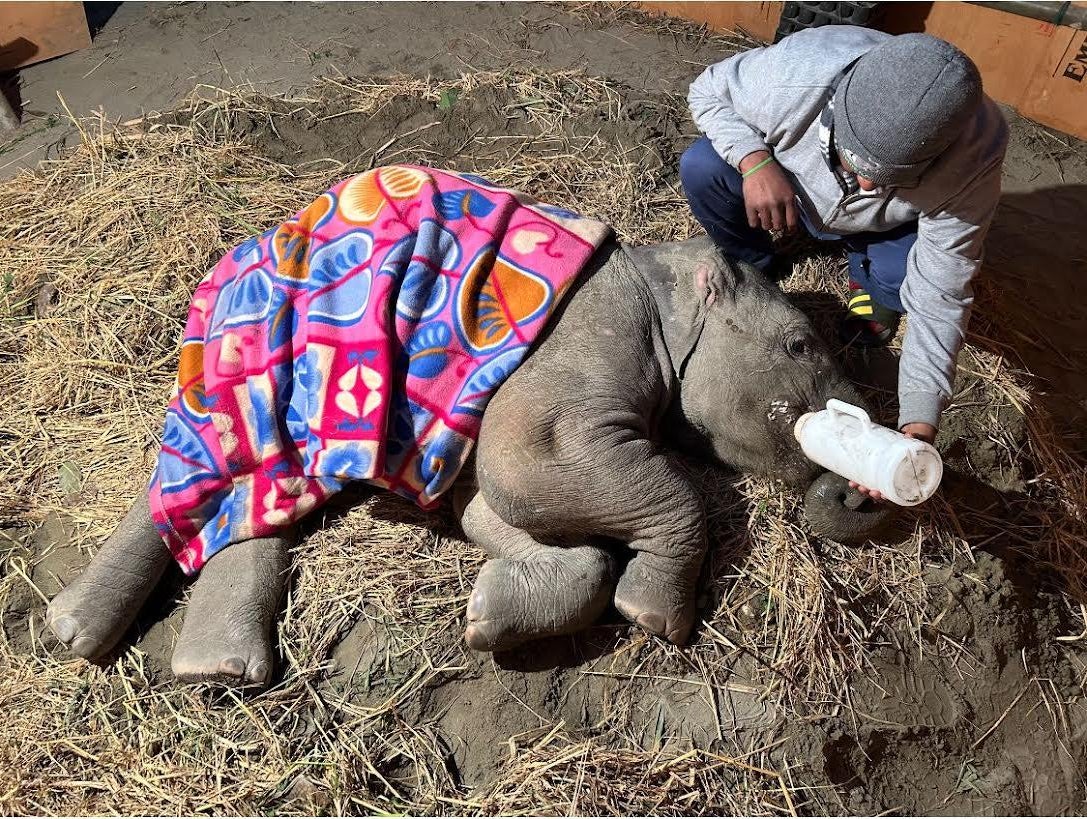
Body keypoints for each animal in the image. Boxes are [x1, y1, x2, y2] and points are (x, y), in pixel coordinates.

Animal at [45, 235, 892, 686]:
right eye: (800, 345)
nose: (863, 489)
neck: (664, 276)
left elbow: (490, 502)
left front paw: (485, 617)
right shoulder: (584, 344)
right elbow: (525, 462)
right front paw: (650, 616)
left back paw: (199, 664)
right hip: (257, 341)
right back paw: (102, 641)